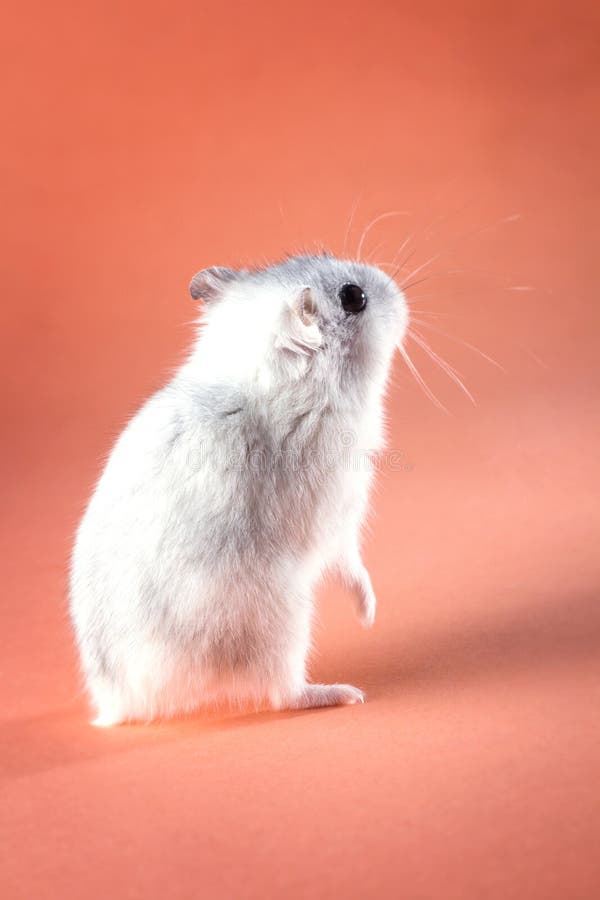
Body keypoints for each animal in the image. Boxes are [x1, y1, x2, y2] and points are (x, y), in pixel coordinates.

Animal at [69, 254, 408, 724]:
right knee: (283, 693)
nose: (401, 294)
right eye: (353, 297)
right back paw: (343, 693)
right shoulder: (334, 515)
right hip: (282, 615)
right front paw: (368, 615)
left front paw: (369, 617)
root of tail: (120, 703)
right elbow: (350, 561)